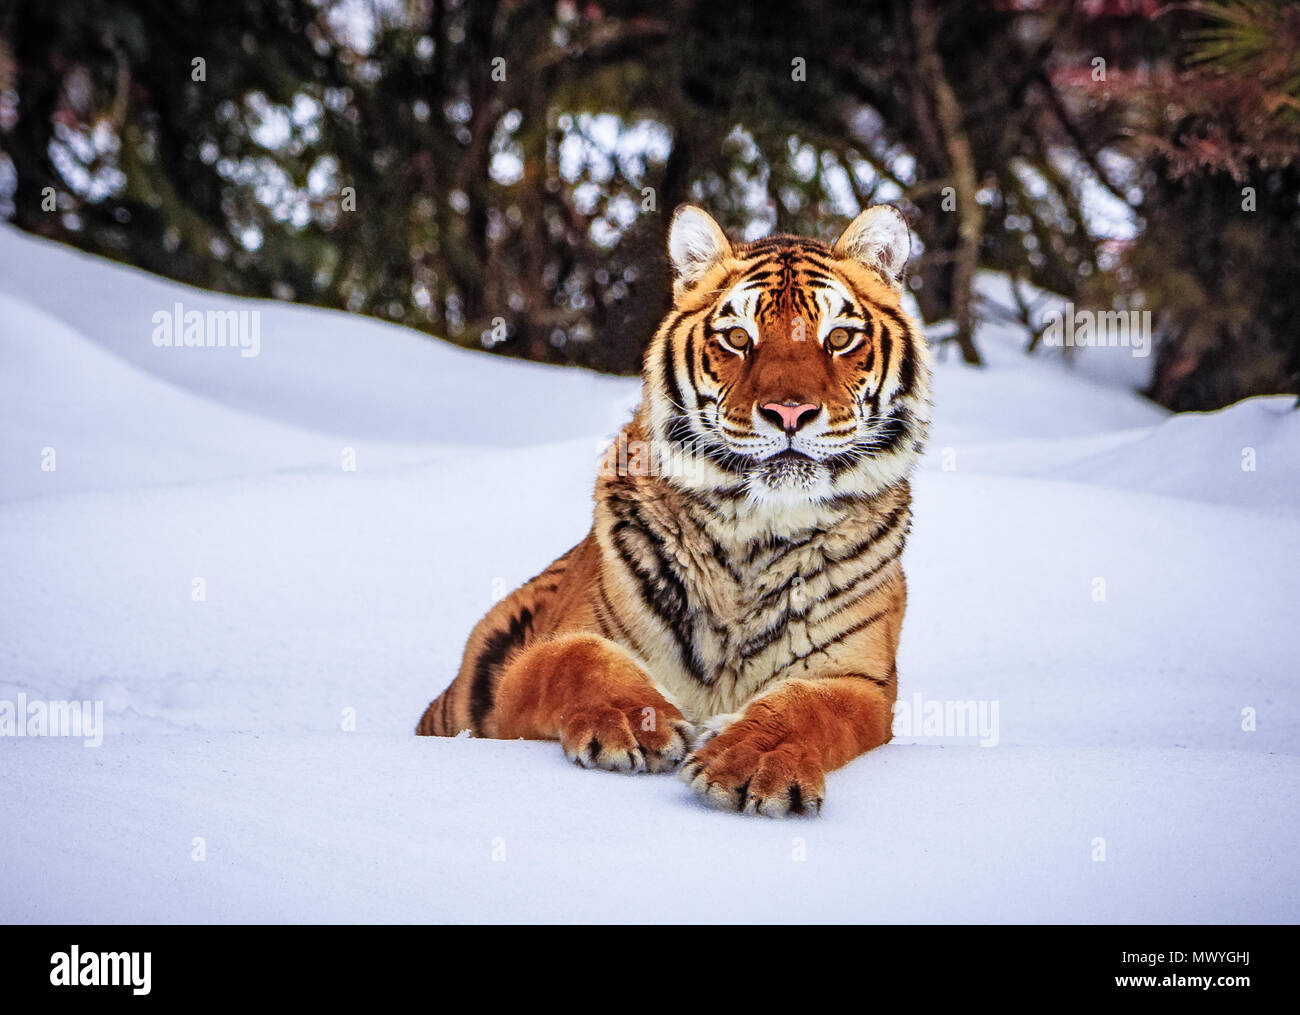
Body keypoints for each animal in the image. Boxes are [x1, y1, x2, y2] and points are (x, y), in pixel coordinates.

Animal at [417, 203, 932, 816]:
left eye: (839, 337)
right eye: (737, 337)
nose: (789, 412)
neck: (756, 533)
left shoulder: (860, 680)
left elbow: (807, 707)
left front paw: (750, 761)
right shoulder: (531, 663)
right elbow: (577, 660)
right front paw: (635, 722)